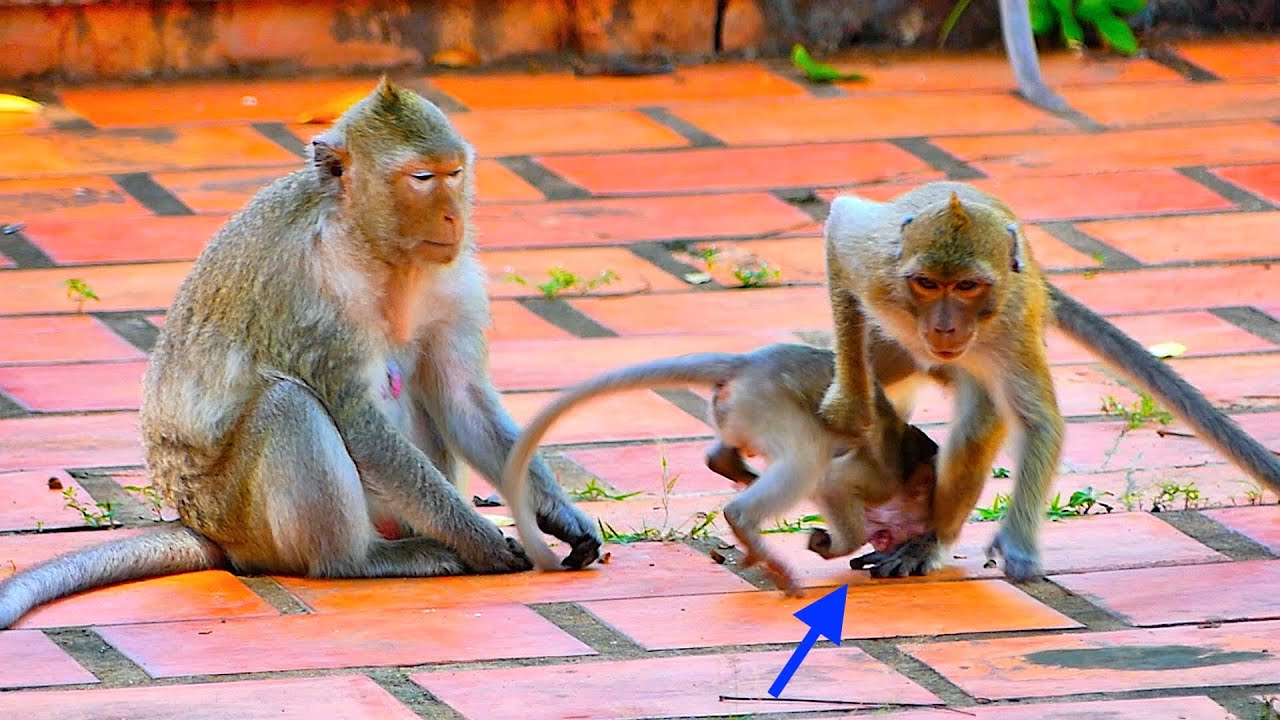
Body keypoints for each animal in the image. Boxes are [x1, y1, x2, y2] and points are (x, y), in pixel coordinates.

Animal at [0, 79, 601, 630]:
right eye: (421, 178)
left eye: (455, 173)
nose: (455, 218)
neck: (369, 248)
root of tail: (205, 528)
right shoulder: (310, 296)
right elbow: (357, 422)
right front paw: (481, 541)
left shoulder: (452, 283)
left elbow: (462, 398)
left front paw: (556, 514)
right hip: (242, 514)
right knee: (289, 403)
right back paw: (358, 561)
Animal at [499, 342, 941, 595]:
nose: (913, 537)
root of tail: (748, 364)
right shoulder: (880, 477)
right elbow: (832, 482)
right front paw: (828, 543)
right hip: (769, 405)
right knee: (808, 458)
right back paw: (746, 525)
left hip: (740, 410)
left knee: (735, 454)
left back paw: (732, 468)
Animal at [821, 180, 1280, 582]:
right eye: (927, 284)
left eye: (967, 286)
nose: (944, 328)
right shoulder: (876, 270)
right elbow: (840, 230)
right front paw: (849, 404)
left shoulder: (1013, 321)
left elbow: (1038, 422)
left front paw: (1016, 542)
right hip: (892, 345)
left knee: (978, 425)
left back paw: (929, 539)